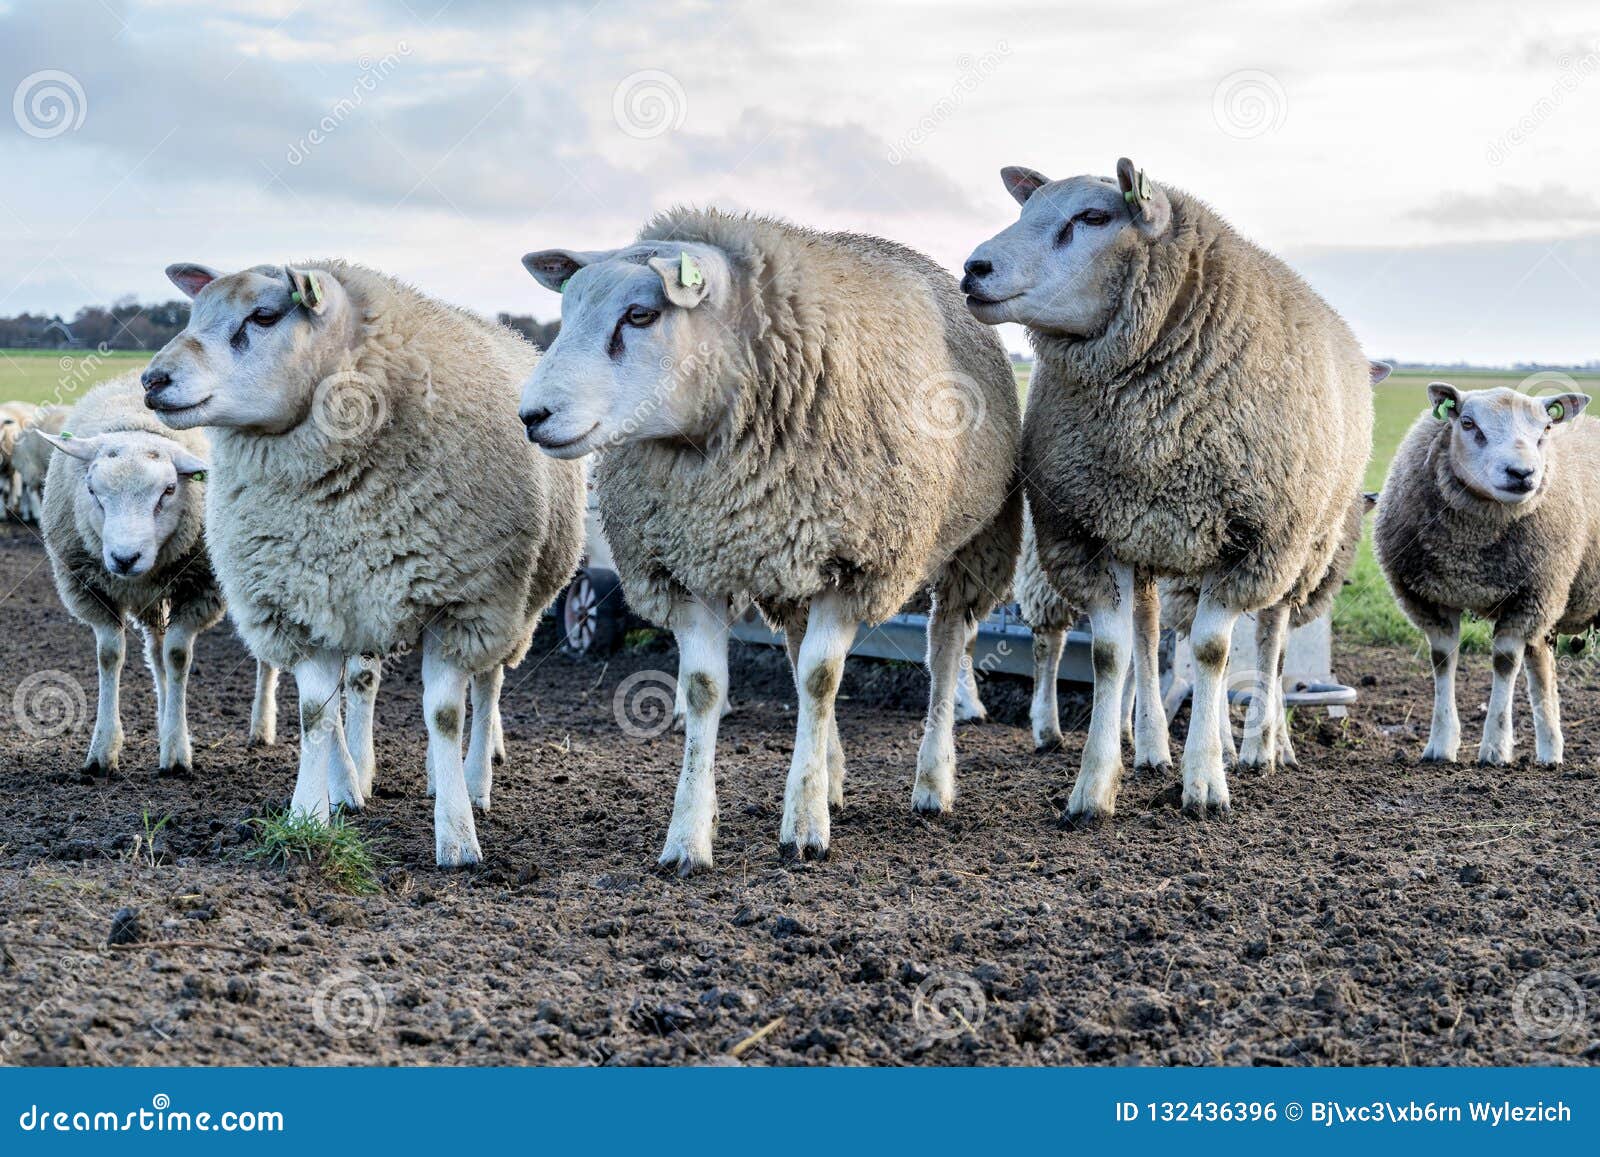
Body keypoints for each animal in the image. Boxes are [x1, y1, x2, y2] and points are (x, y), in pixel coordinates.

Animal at [38, 373, 275, 773]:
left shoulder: (200, 588)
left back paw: (261, 728)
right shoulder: (91, 589)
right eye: (92, 490)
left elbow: (178, 655)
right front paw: (103, 750)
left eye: (168, 489)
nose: (124, 558)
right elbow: (110, 655)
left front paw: (177, 753)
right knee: (156, 650)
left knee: (264, 652)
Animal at [142, 260, 586, 867]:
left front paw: (457, 836)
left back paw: (472, 780)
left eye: (264, 316)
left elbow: (445, 717)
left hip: (511, 608)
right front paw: (308, 815)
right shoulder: (302, 602)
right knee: (362, 685)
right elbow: (316, 714)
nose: (152, 380)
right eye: (193, 314)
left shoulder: (462, 605)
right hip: (360, 597)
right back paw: (358, 778)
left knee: (487, 686)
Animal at [518, 209, 1022, 871]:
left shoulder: (854, 562)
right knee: (799, 650)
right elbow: (705, 690)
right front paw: (688, 838)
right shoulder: (688, 563)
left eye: (641, 314)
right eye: (568, 306)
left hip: (974, 545)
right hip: (788, 565)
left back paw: (932, 784)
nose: (532, 415)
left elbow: (821, 679)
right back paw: (832, 776)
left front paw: (804, 827)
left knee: (942, 654)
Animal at [962, 157, 1373, 822]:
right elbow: (1111, 655)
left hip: (1279, 552)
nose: (975, 269)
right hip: (1147, 538)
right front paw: (1094, 786)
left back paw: (1252, 748)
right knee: (1147, 634)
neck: (1154, 428)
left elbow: (1210, 653)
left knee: (1264, 645)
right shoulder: (1088, 534)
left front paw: (1205, 780)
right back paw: (1154, 747)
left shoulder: (1252, 543)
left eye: (1093, 217)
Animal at [1374, 383, 1598, 766]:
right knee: (1541, 666)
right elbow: (1442, 661)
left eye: (1546, 429)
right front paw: (1440, 745)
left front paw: (1494, 748)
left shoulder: (1530, 598)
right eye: (1467, 423)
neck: (1468, 552)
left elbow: (1505, 663)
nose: (1522, 473)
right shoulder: (1431, 599)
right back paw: (1550, 752)